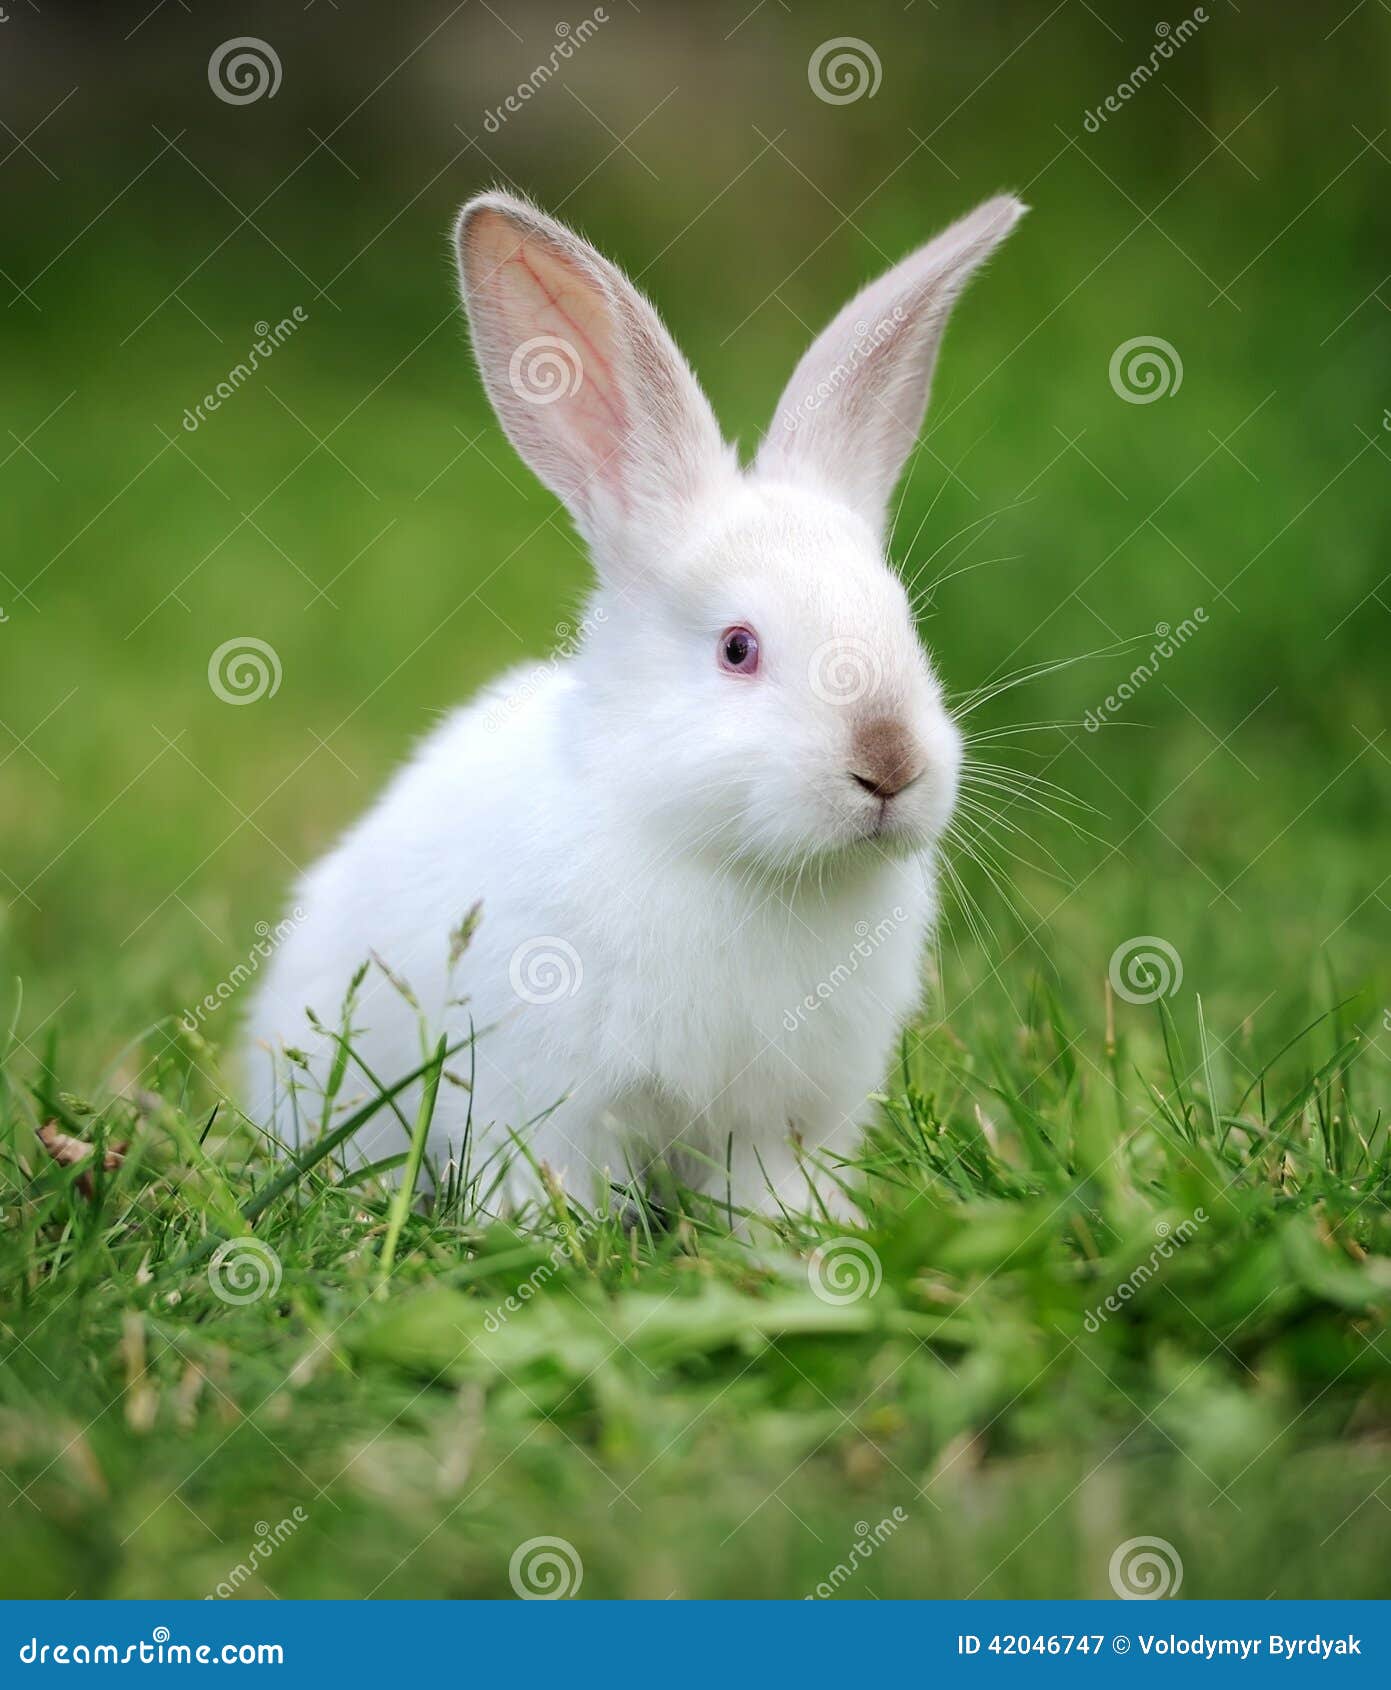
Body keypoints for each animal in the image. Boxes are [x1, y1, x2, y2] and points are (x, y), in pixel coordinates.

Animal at [242, 187, 1026, 1226]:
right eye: (737, 648)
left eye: (905, 626)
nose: (889, 764)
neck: (730, 860)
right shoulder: (548, 1098)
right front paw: (541, 1236)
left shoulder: (783, 1119)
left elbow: (769, 1191)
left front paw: (800, 1241)